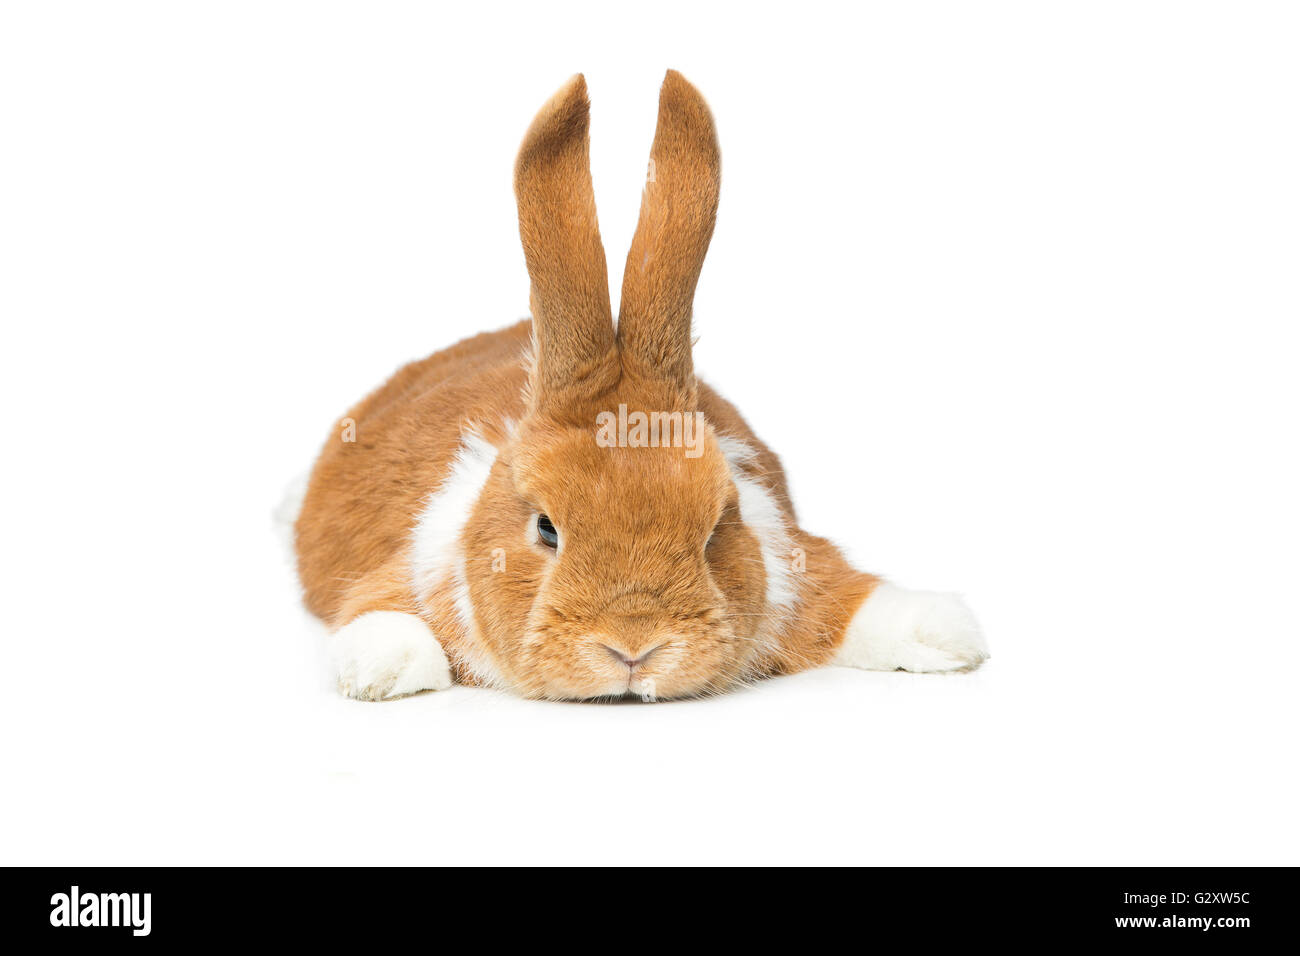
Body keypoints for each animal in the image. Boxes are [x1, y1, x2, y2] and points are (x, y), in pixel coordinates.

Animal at [292, 71, 988, 701]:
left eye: (715, 530)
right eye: (545, 529)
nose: (634, 647)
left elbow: (855, 598)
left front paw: (949, 635)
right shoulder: (407, 566)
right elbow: (379, 608)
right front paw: (385, 671)